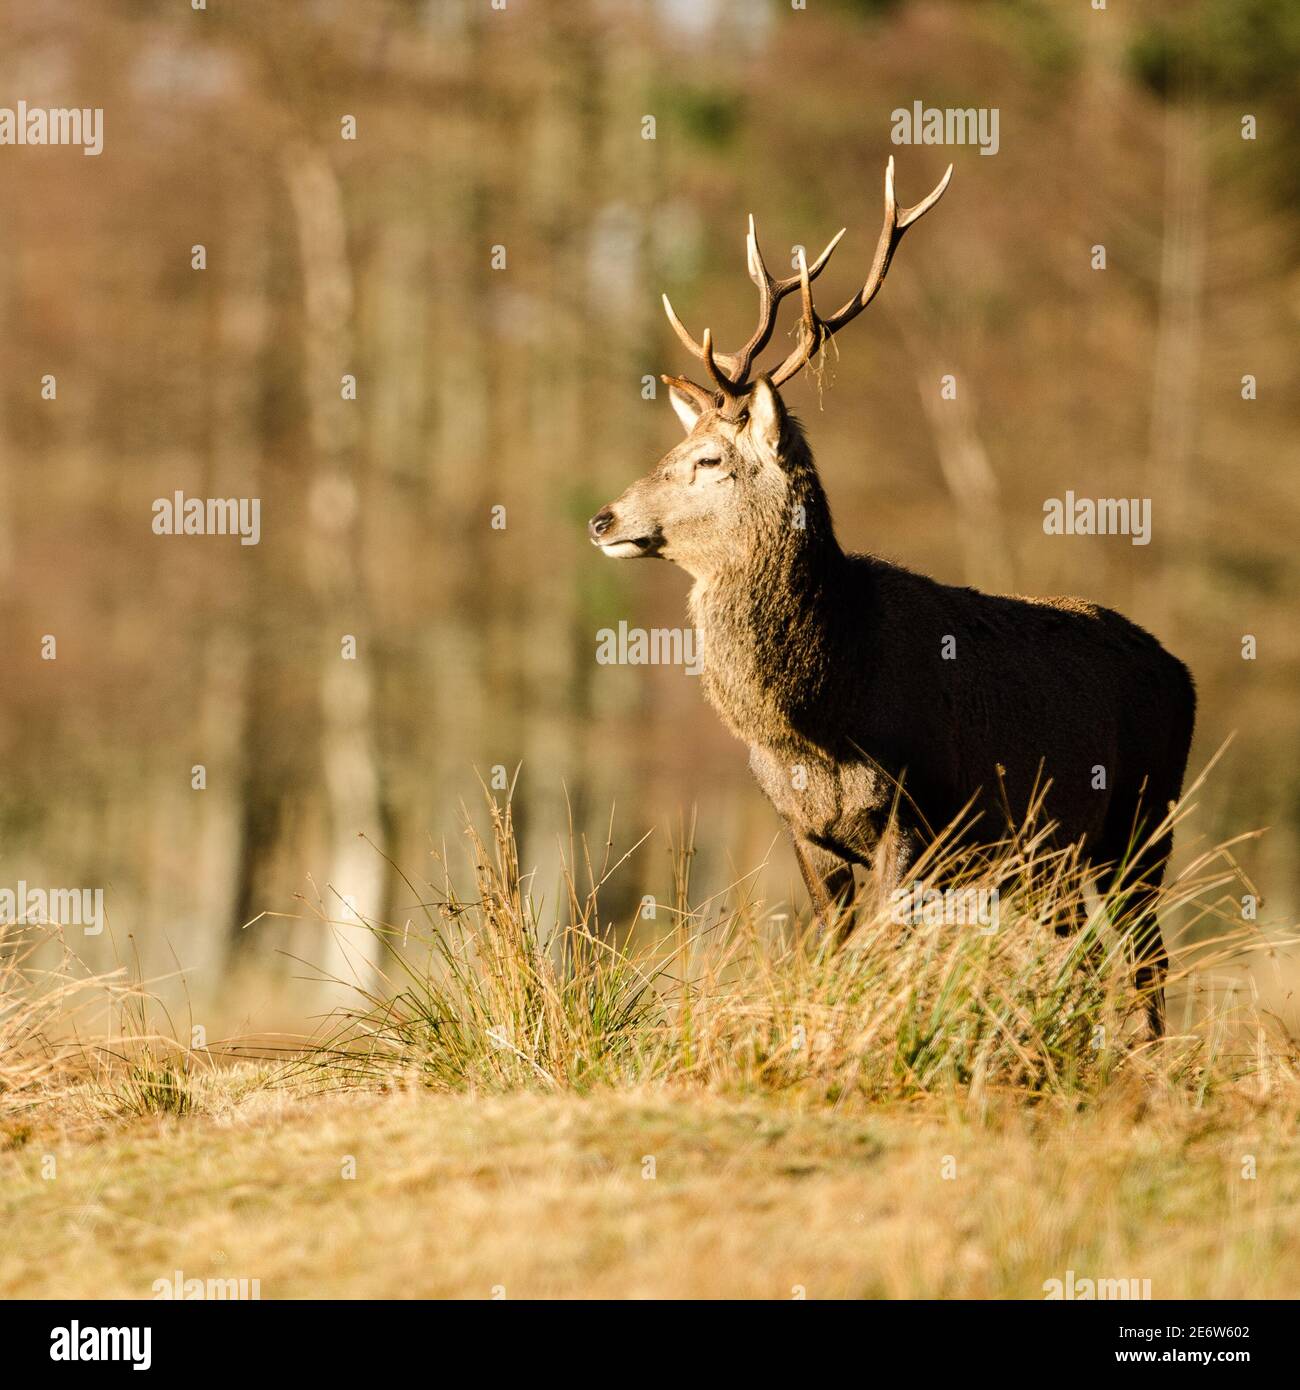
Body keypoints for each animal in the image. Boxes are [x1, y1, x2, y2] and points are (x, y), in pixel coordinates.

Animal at [588, 159, 1196, 1034]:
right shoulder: (807, 835)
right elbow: (834, 958)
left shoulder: (914, 817)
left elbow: (881, 960)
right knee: (1087, 956)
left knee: (1148, 962)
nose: (603, 518)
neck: (820, 715)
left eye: (707, 459)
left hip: (1144, 821)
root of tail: (1182, 670)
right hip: (1052, 858)